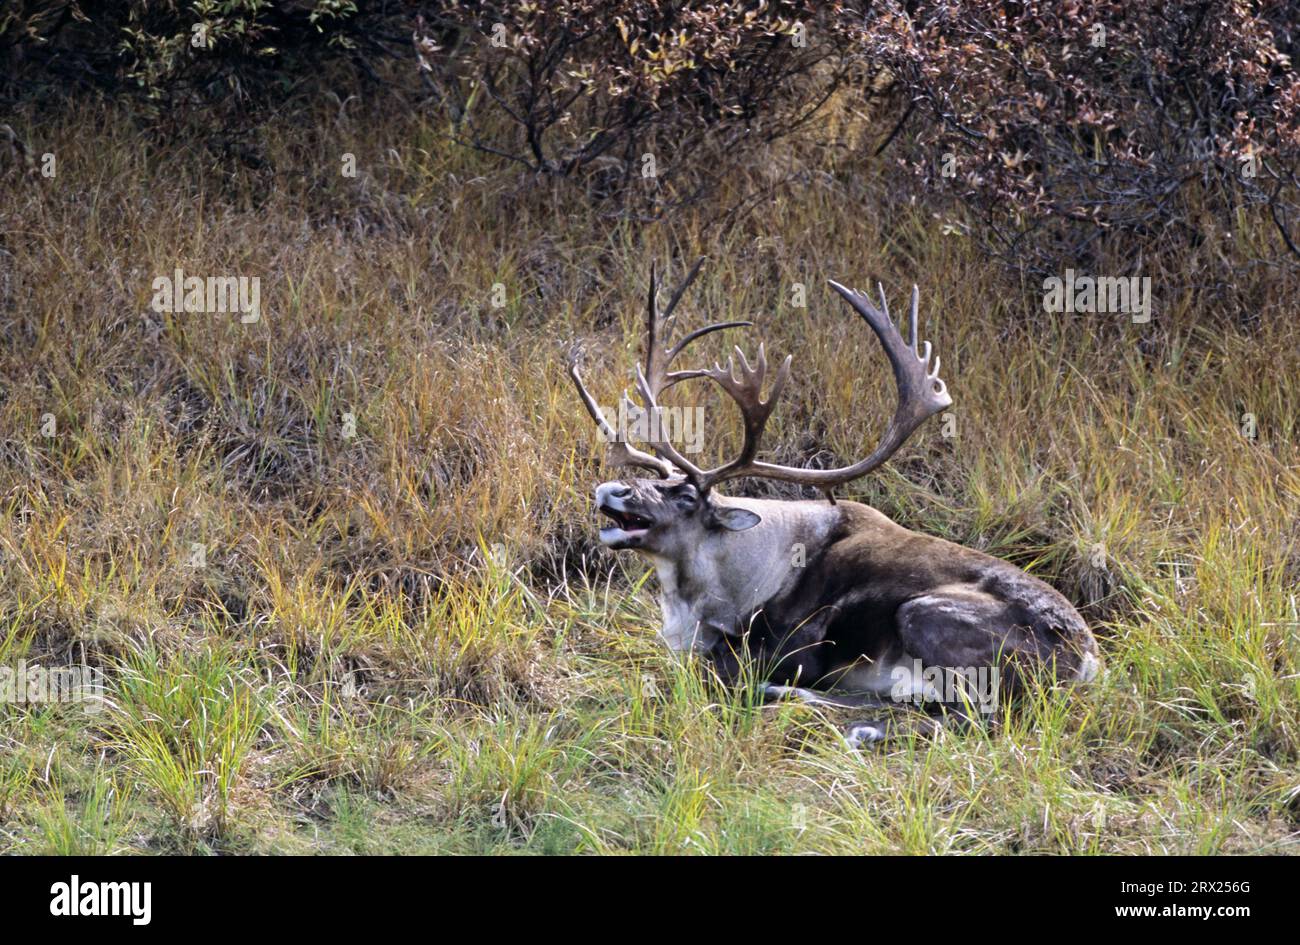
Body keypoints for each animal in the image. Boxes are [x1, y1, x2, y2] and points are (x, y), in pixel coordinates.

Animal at [568, 260, 1101, 745]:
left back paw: (855, 725)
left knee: (972, 717)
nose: (610, 489)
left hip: (925, 615)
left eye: (684, 496)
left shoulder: (795, 651)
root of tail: (1087, 662)